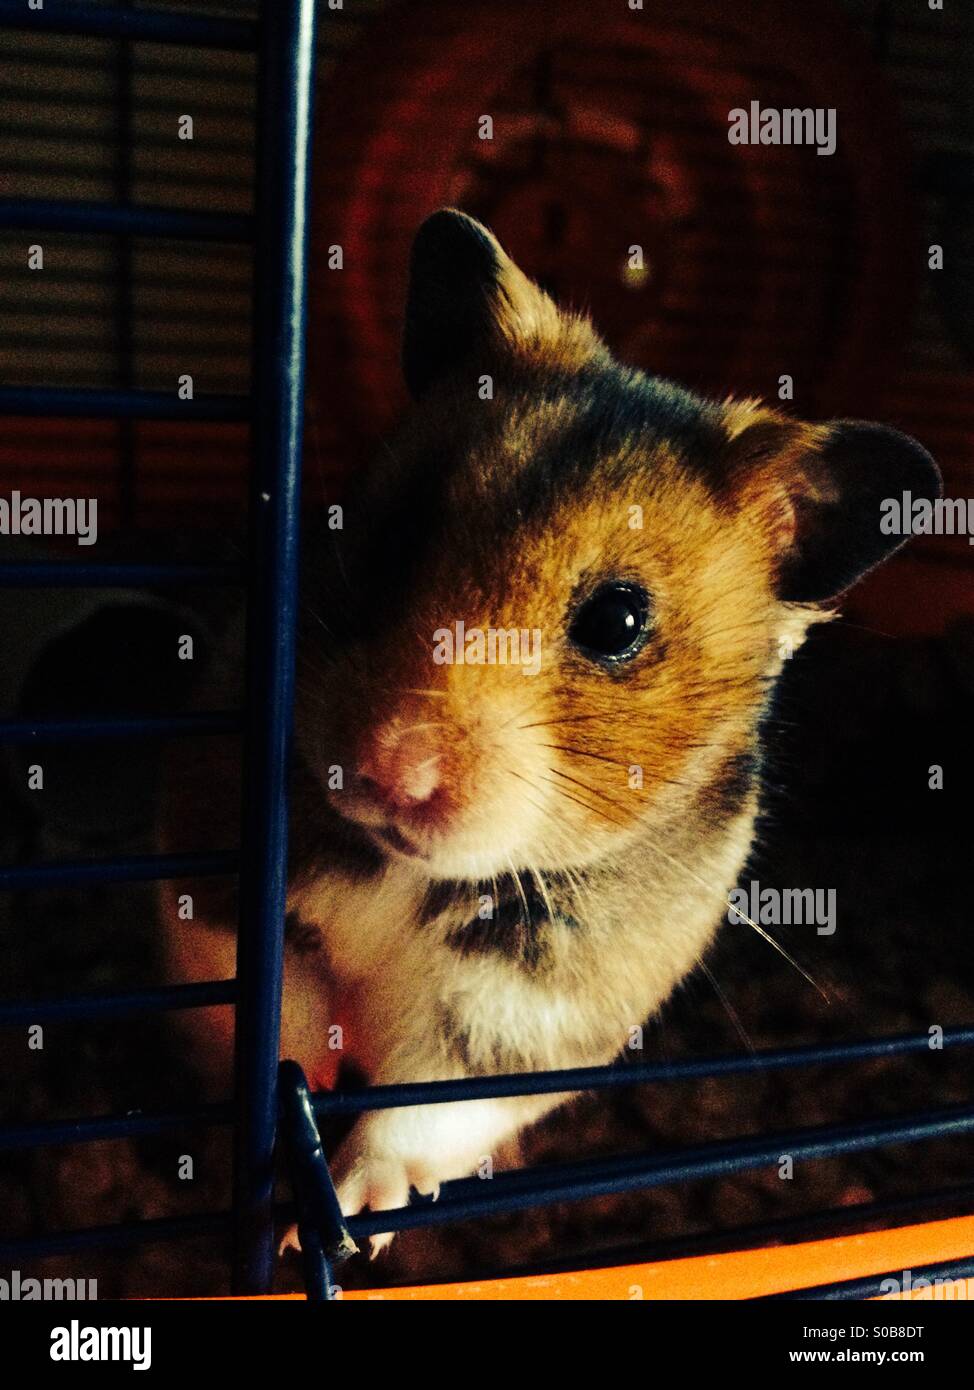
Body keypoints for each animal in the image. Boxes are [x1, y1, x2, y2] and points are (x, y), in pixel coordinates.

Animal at [161, 209, 940, 1256]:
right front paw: (300, 1150)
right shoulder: (220, 895)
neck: (408, 870)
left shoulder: (528, 1018)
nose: (384, 774)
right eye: (395, 534)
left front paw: (348, 1221)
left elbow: (420, 1116)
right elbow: (282, 1018)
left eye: (616, 621)